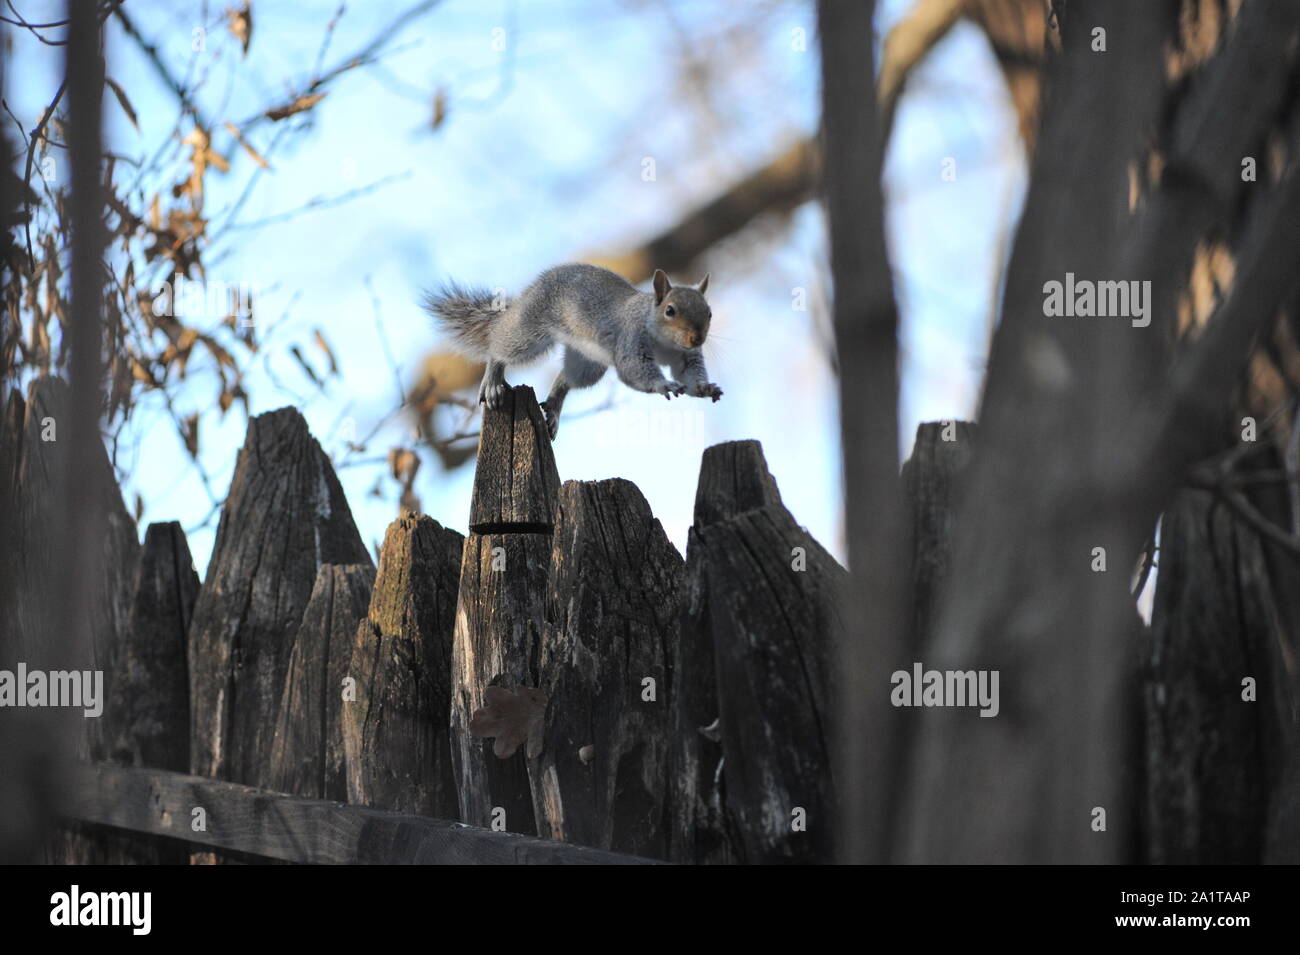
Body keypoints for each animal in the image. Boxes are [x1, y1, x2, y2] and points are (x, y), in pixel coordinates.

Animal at [423, 263, 722, 438]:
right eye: (670, 311)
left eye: (709, 313)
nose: (696, 338)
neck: (665, 342)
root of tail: (535, 286)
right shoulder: (631, 340)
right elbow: (635, 369)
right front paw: (664, 385)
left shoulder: (686, 357)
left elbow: (688, 374)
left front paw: (704, 388)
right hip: (528, 331)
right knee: (500, 345)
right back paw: (494, 379)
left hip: (587, 363)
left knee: (566, 378)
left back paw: (554, 407)